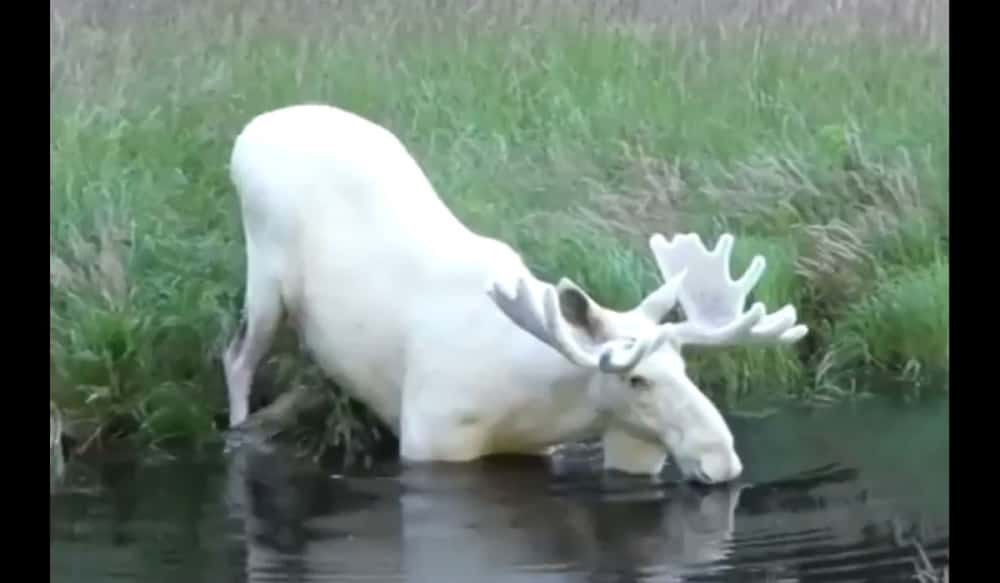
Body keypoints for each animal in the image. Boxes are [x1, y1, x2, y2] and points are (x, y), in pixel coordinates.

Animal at [222, 103, 808, 485]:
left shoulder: (532, 447)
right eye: (637, 379)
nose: (721, 461)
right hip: (264, 276)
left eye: (685, 367)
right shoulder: (429, 442)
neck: (538, 401)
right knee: (236, 356)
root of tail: (248, 131)